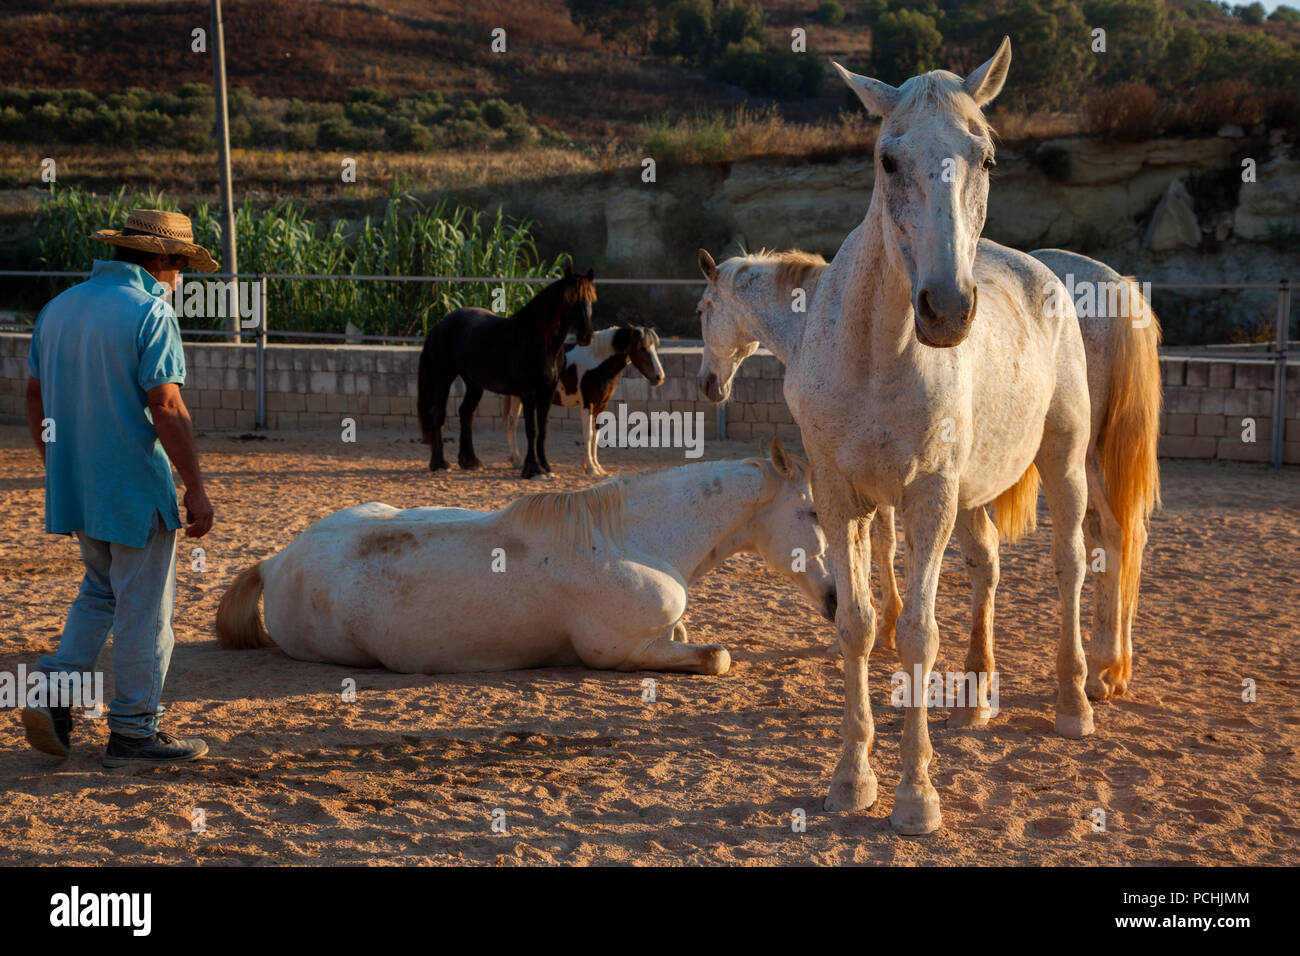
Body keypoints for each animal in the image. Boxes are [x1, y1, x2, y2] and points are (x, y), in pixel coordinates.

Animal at [214, 440, 837, 675]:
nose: (836, 598)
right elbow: (717, 657)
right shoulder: (619, 653)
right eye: (812, 512)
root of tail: (275, 562)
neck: (637, 539)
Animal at [417, 268, 597, 480]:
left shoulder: (547, 392)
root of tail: (439, 326)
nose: (587, 336)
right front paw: (532, 469)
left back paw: (470, 461)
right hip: (443, 379)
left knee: (466, 413)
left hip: (474, 384)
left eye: (591, 300)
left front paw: (546, 466)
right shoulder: (528, 393)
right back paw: (440, 463)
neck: (539, 339)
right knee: (438, 414)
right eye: (571, 300)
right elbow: (532, 429)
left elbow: (543, 430)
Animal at [503, 325, 666, 476]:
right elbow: (588, 434)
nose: (659, 377)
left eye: (656, 347)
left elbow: (596, 435)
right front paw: (591, 468)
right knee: (511, 422)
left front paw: (596, 466)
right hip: (520, 396)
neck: (598, 364)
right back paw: (516, 459)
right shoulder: (587, 404)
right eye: (642, 347)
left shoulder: (601, 405)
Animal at [693, 246, 1160, 703]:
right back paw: (1114, 668)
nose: (707, 384)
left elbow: (883, 544)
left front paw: (883, 624)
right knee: (1125, 536)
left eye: (703, 308)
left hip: (1076, 456)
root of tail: (1118, 286)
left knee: (1105, 536)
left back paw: (1099, 667)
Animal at [779, 39, 1096, 833]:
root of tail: (1043, 269)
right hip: (975, 490)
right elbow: (859, 625)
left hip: (1064, 462)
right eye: (887, 159)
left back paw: (1074, 702)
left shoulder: (928, 495)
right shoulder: (840, 495)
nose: (947, 309)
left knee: (1070, 565)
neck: (876, 352)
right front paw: (850, 778)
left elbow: (919, 632)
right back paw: (979, 698)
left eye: (986, 156)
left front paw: (916, 797)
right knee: (987, 567)